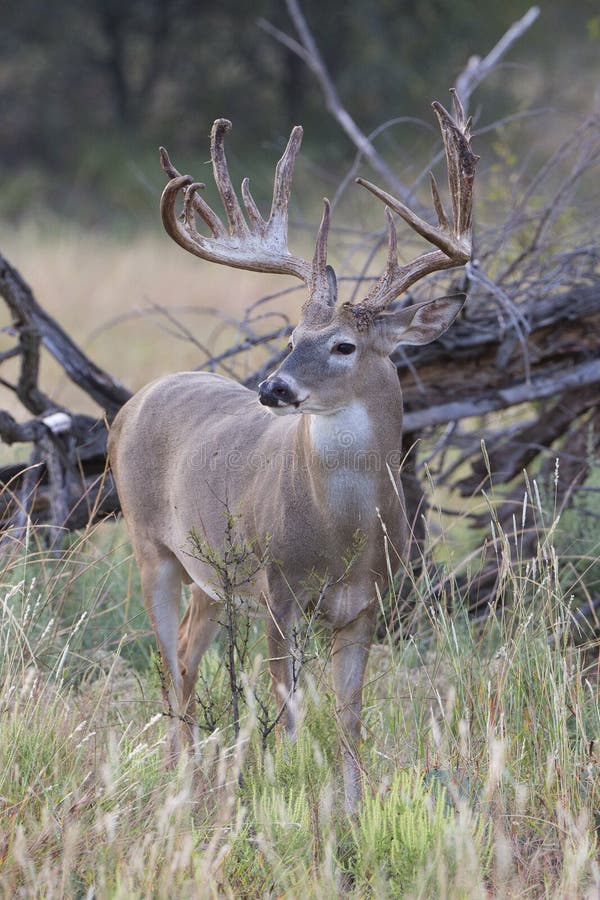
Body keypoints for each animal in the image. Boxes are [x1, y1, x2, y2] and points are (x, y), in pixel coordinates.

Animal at [108, 92, 477, 812]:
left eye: (343, 345)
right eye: (290, 338)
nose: (272, 388)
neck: (339, 533)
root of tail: (134, 401)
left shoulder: (366, 604)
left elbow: (350, 715)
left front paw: (352, 810)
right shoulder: (277, 591)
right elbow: (288, 709)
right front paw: (289, 798)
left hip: (212, 576)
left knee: (188, 654)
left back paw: (191, 780)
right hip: (151, 547)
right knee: (168, 665)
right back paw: (179, 785)